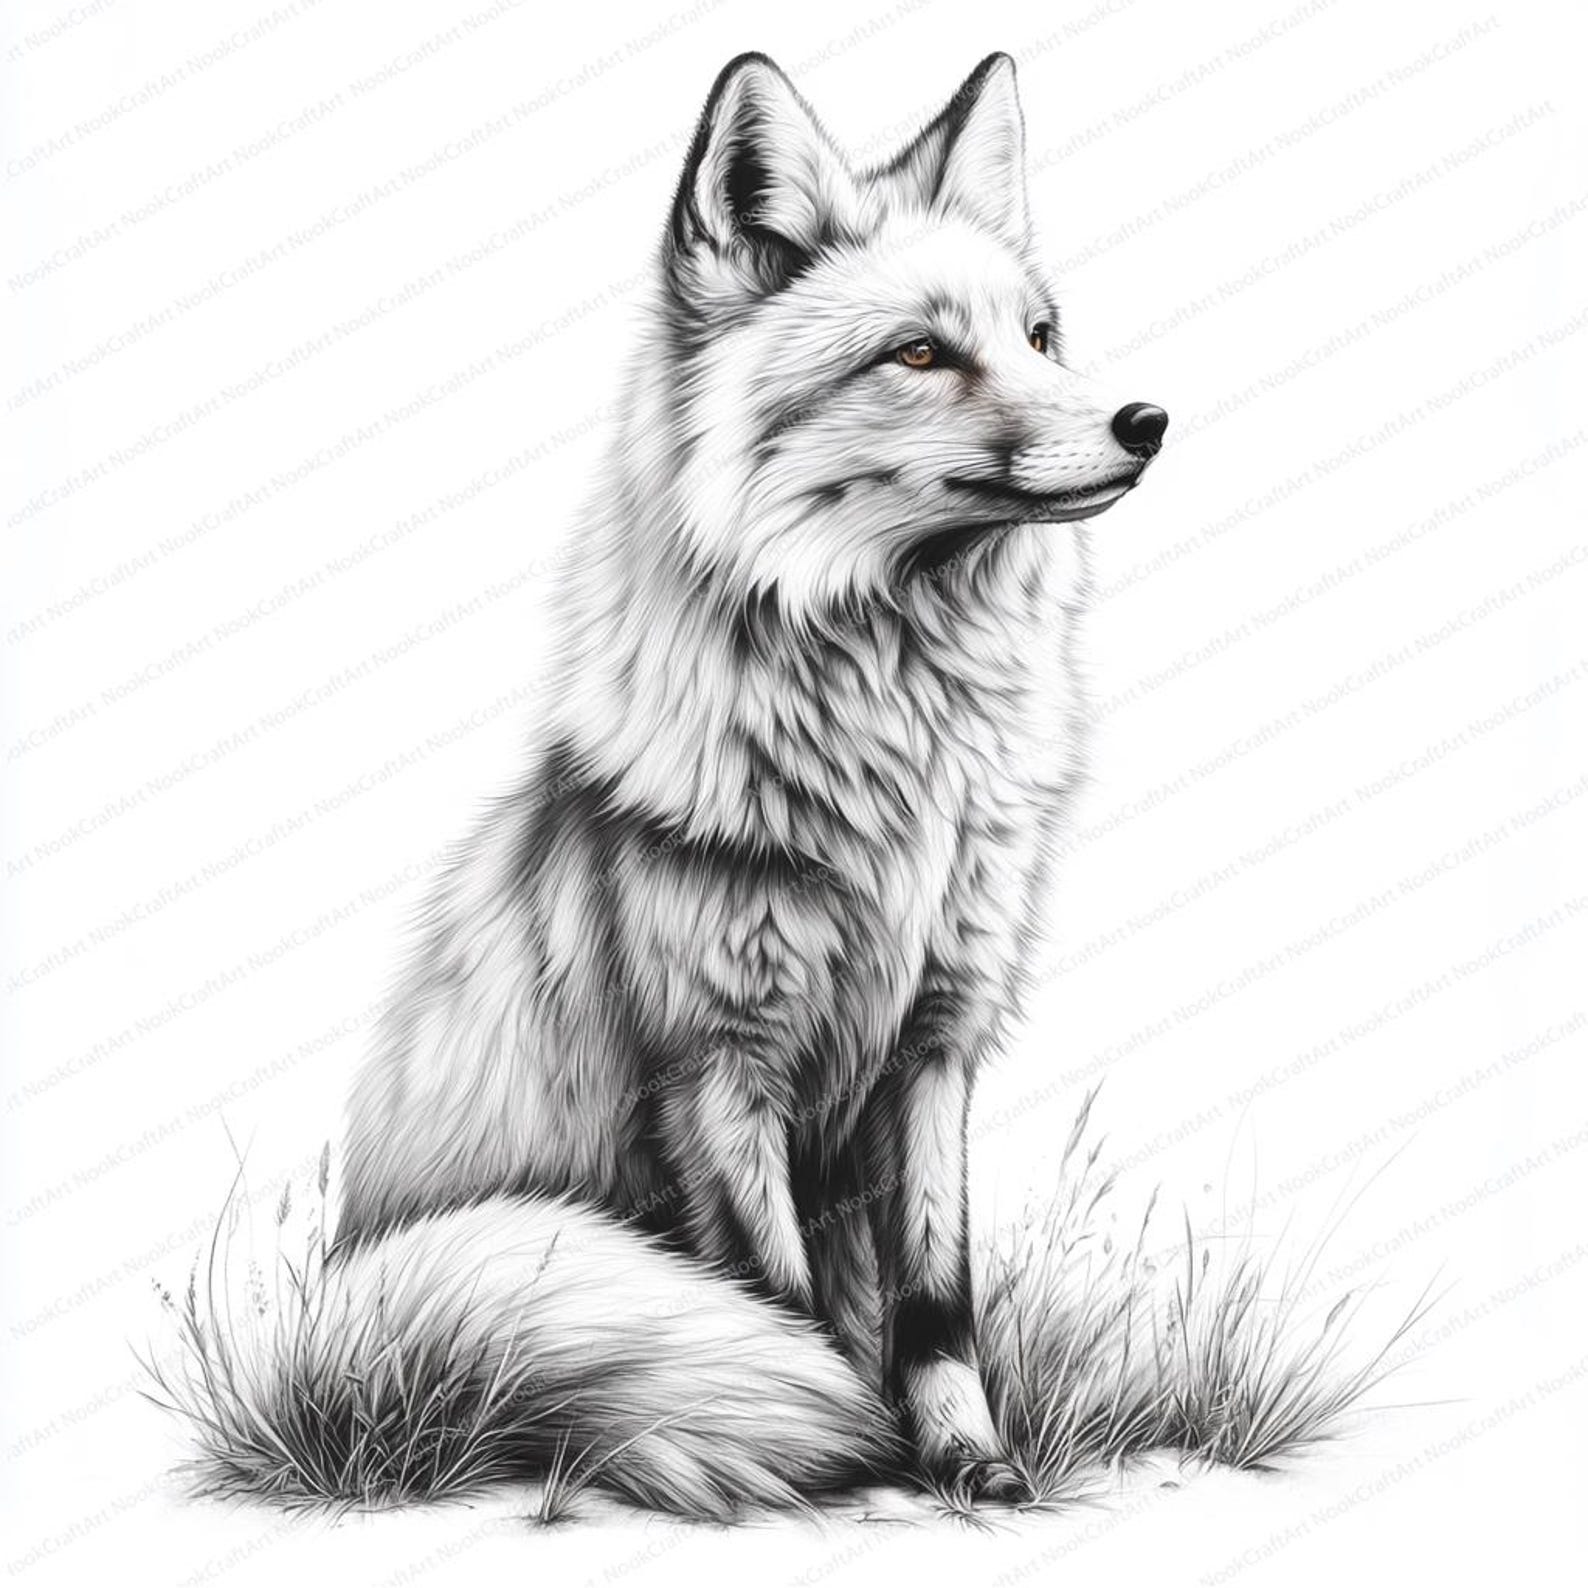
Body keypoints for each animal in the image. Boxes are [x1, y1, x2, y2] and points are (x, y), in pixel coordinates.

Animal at [230, 51, 1168, 1519]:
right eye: (919, 353)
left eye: (1040, 337)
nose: (1148, 422)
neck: (895, 781)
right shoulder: (715, 1073)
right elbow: (770, 1303)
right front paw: (837, 1446)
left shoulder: (933, 1047)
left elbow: (936, 1300)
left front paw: (966, 1459)